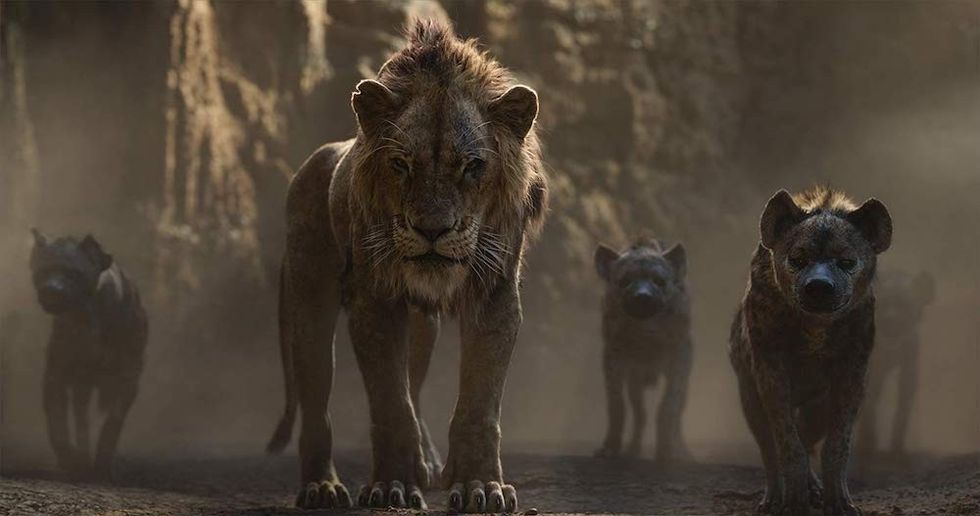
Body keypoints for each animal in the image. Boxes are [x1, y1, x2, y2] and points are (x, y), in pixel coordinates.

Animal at [266, 20, 547, 513]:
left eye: (472, 166)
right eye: (400, 164)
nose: (432, 229)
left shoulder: (495, 296)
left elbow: (478, 405)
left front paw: (479, 487)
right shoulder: (375, 302)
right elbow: (390, 405)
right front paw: (391, 486)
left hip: (421, 326)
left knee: (414, 385)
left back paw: (428, 462)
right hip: (309, 302)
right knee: (317, 402)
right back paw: (322, 487)